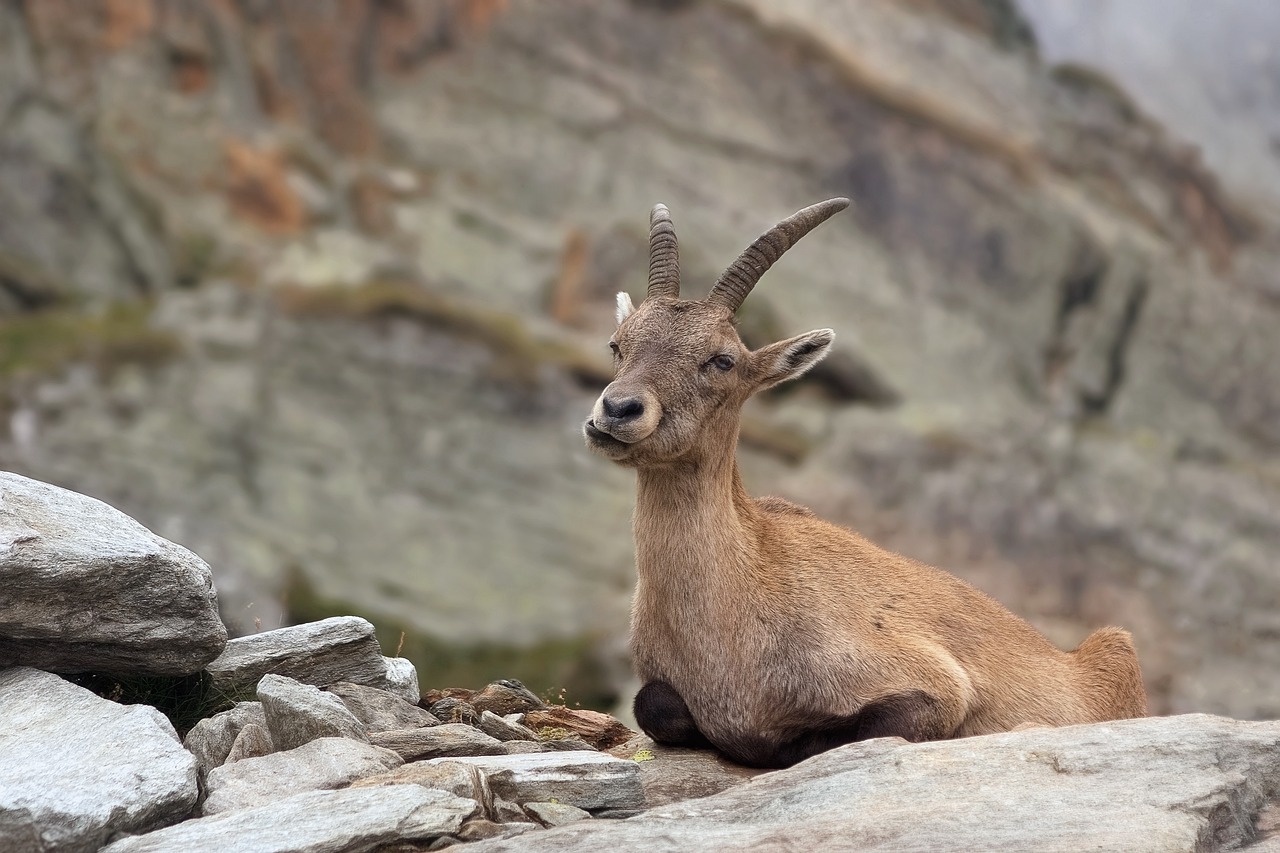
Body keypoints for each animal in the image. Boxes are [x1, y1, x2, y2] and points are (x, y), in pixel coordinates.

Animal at [583, 198, 1148, 769]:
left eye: (723, 360)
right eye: (618, 345)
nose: (618, 409)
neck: (731, 612)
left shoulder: (933, 682)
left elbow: (856, 729)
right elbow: (655, 705)